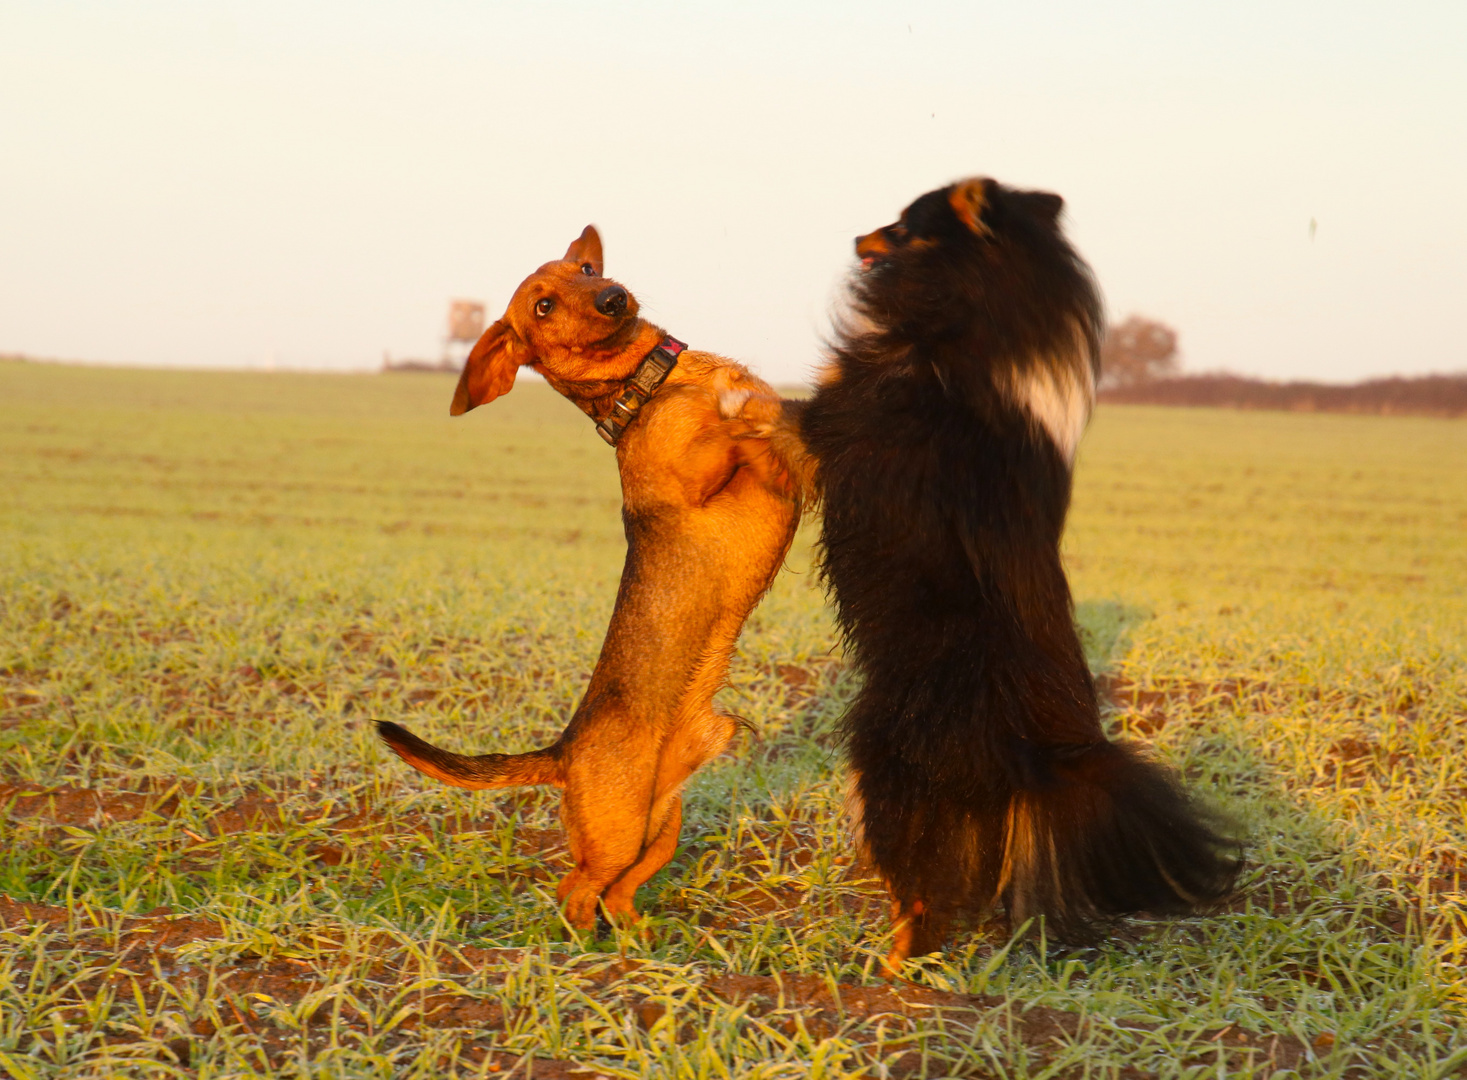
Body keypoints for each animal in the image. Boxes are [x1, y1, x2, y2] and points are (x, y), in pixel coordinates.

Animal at [369, 225, 803, 927]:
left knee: (615, 890)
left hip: (660, 827)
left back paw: (635, 938)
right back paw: (579, 943)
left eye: (587, 270)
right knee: (575, 888)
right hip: (620, 832)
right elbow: (747, 425)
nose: (612, 296)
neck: (651, 383)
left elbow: (772, 412)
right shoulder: (705, 471)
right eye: (542, 307)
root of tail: (564, 752)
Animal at [798, 177, 1244, 968]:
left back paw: (889, 965)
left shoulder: (840, 414)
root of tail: (1038, 758)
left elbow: (783, 401)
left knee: (920, 892)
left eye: (904, 226)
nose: (856, 237)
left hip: (879, 765)